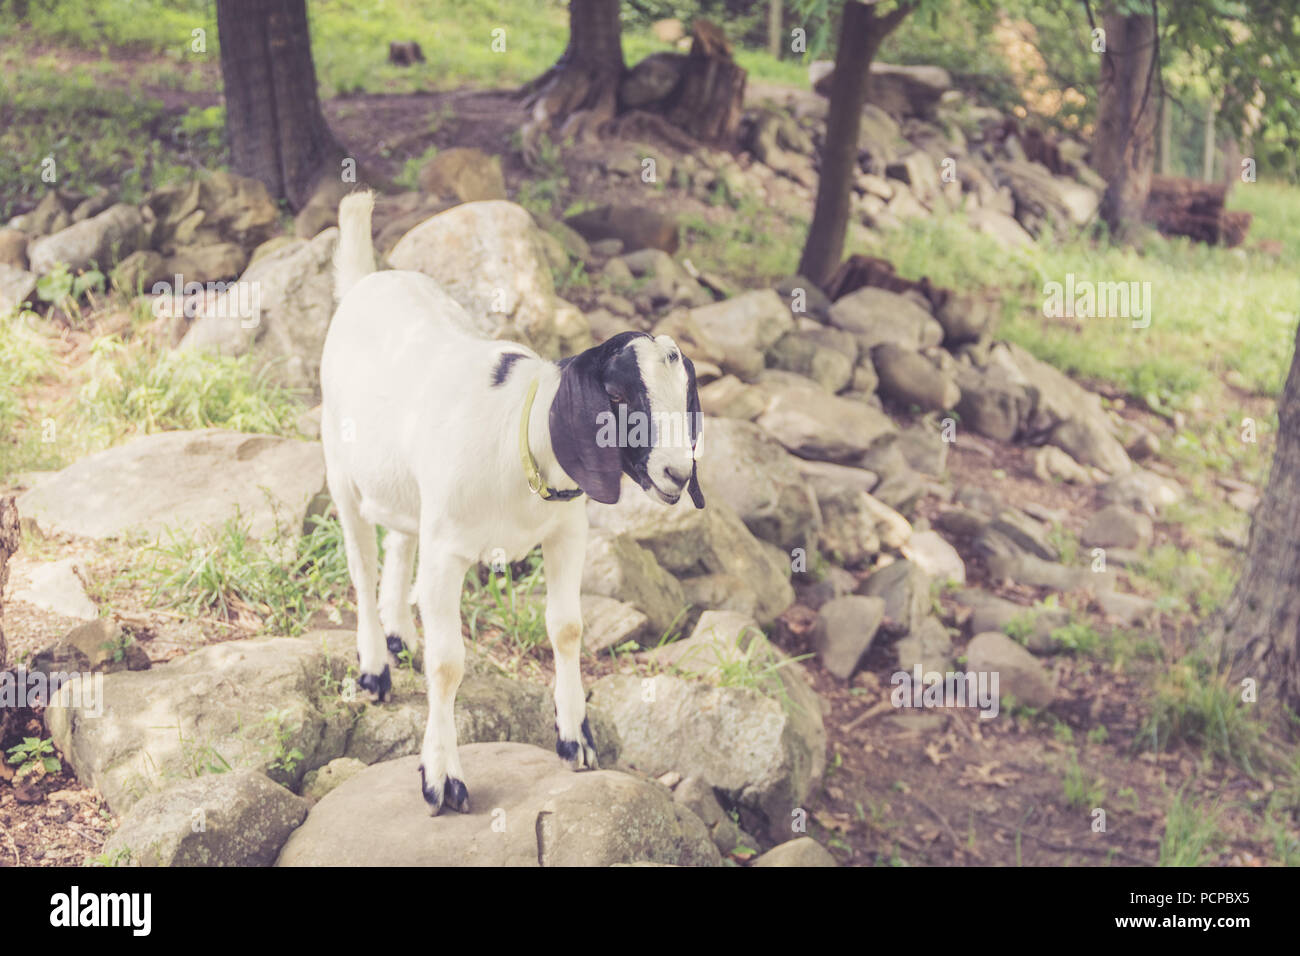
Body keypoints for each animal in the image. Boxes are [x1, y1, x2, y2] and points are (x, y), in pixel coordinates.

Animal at [321, 191, 705, 813]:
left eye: (687, 395)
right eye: (617, 393)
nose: (676, 471)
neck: (518, 435)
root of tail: (366, 280)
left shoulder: (566, 532)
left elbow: (567, 627)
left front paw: (576, 737)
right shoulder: (448, 549)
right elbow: (448, 664)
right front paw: (441, 776)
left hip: (404, 486)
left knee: (400, 535)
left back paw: (400, 631)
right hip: (340, 467)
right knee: (361, 562)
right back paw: (376, 665)